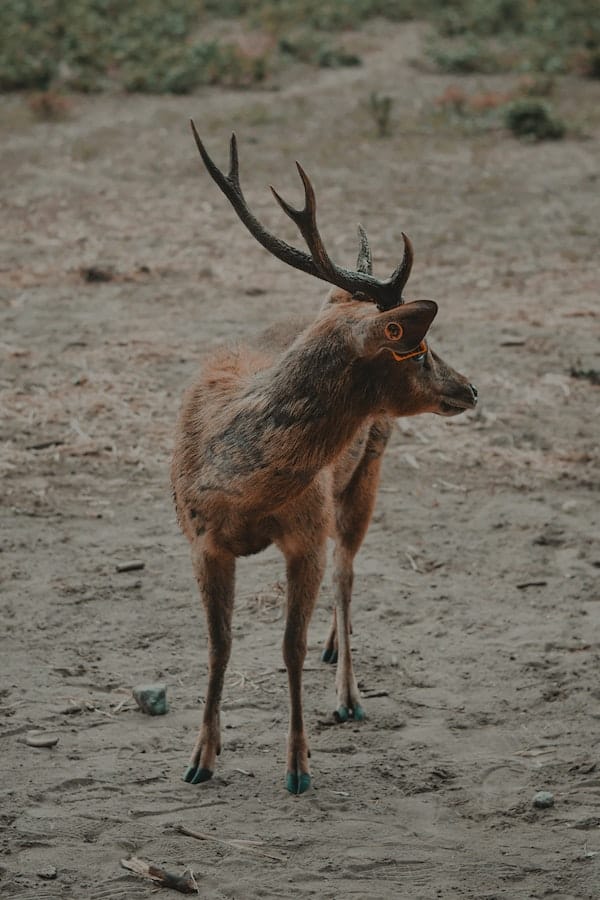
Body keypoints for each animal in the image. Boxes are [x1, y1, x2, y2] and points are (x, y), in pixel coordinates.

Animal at [171, 122, 478, 795]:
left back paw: (347, 693)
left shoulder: (304, 535)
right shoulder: (200, 541)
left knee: (348, 570)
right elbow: (218, 646)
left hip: (367, 471)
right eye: (418, 350)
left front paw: (298, 767)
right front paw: (201, 759)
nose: (470, 388)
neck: (240, 487)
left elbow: (290, 647)